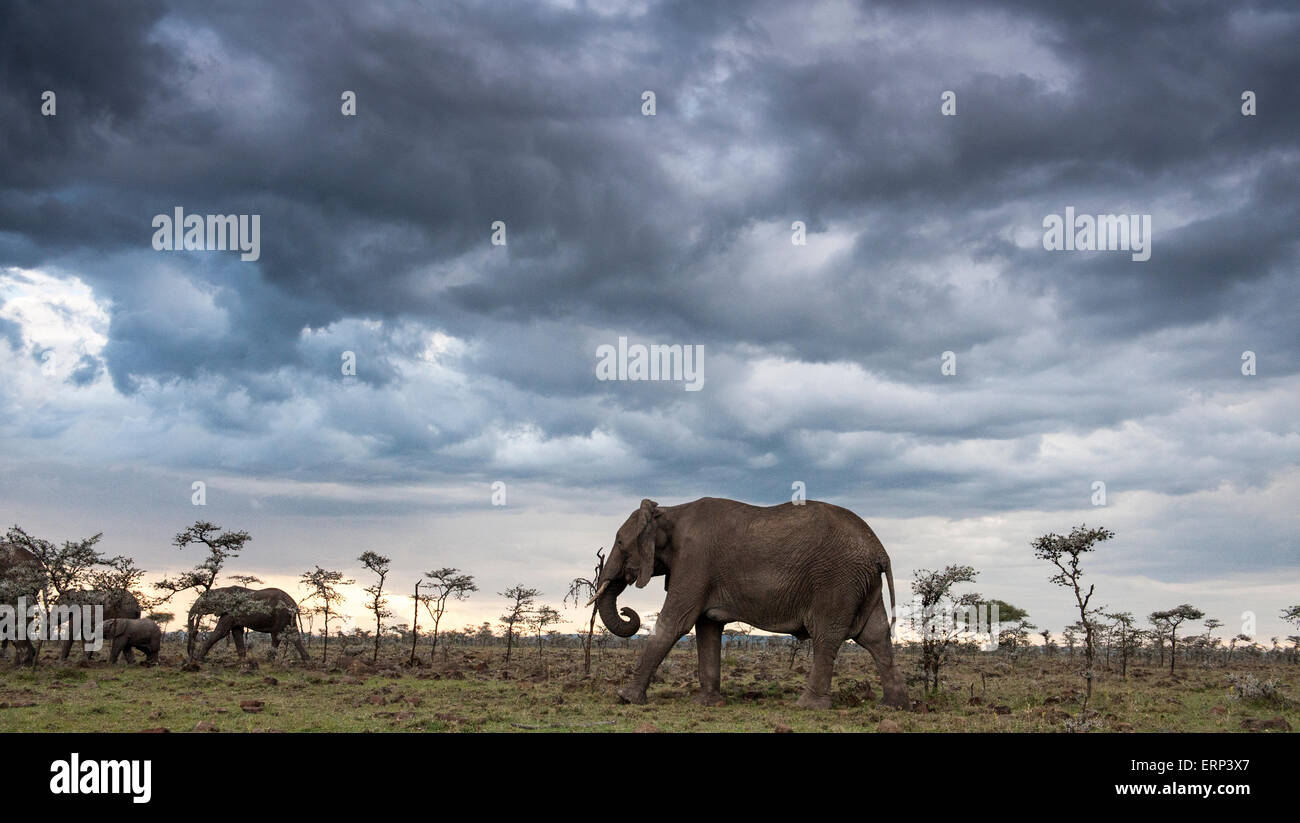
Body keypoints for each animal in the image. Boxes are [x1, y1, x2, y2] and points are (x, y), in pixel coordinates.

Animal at [591, 497, 910, 709]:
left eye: (619, 543)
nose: (627, 610)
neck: (669, 511)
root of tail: (880, 550)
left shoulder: (695, 561)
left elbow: (674, 623)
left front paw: (625, 698)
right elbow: (707, 628)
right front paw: (708, 703)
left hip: (837, 579)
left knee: (826, 636)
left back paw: (806, 706)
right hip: (862, 581)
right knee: (875, 636)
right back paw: (894, 706)